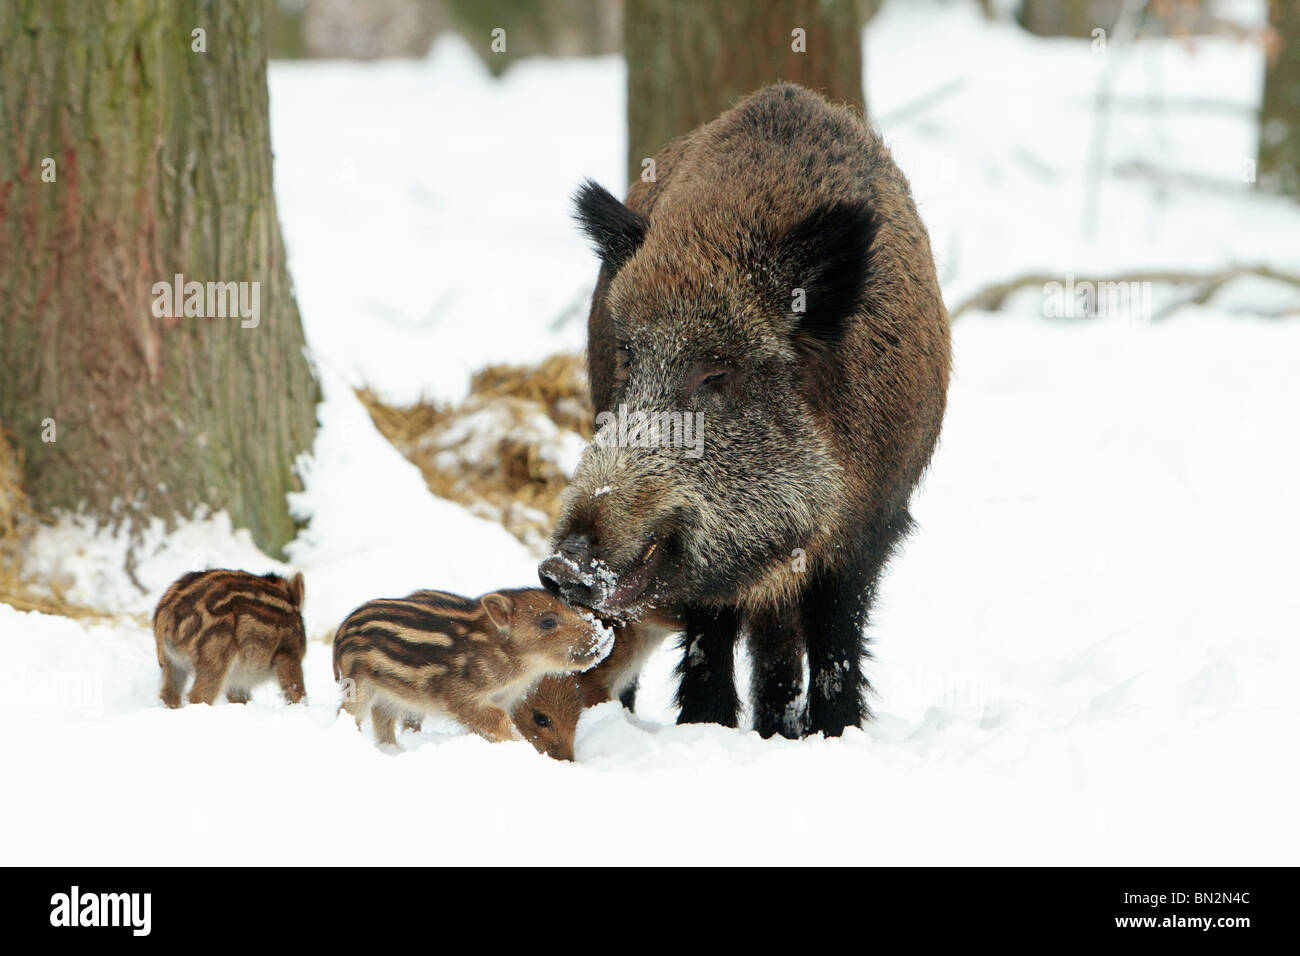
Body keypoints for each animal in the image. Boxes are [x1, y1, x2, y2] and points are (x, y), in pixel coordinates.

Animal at [153, 569, 307, 708]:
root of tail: (168, 613)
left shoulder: (238, 679)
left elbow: (240, 698)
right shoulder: (289, 655)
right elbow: (296, 689)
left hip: (171, 663)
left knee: (168, 696)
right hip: (213, 660)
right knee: (198, 697)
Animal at [332, 588, 613, 751]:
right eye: (548, 622)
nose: (606, 636)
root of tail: (342, 633)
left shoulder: (502, 698)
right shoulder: (462, 697)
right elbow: (500, 720)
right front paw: (519, 744)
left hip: (393, 694)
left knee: (382, 719)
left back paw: (393, 751)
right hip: (359, 684)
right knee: (348, 713)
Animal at [539, 84, 951, 738]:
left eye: (716, 373)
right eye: (629, 356)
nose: (560, 566)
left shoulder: (872, 524)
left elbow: (837, 640)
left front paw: (835, 735)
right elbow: (709, 641)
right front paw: (706, 730)